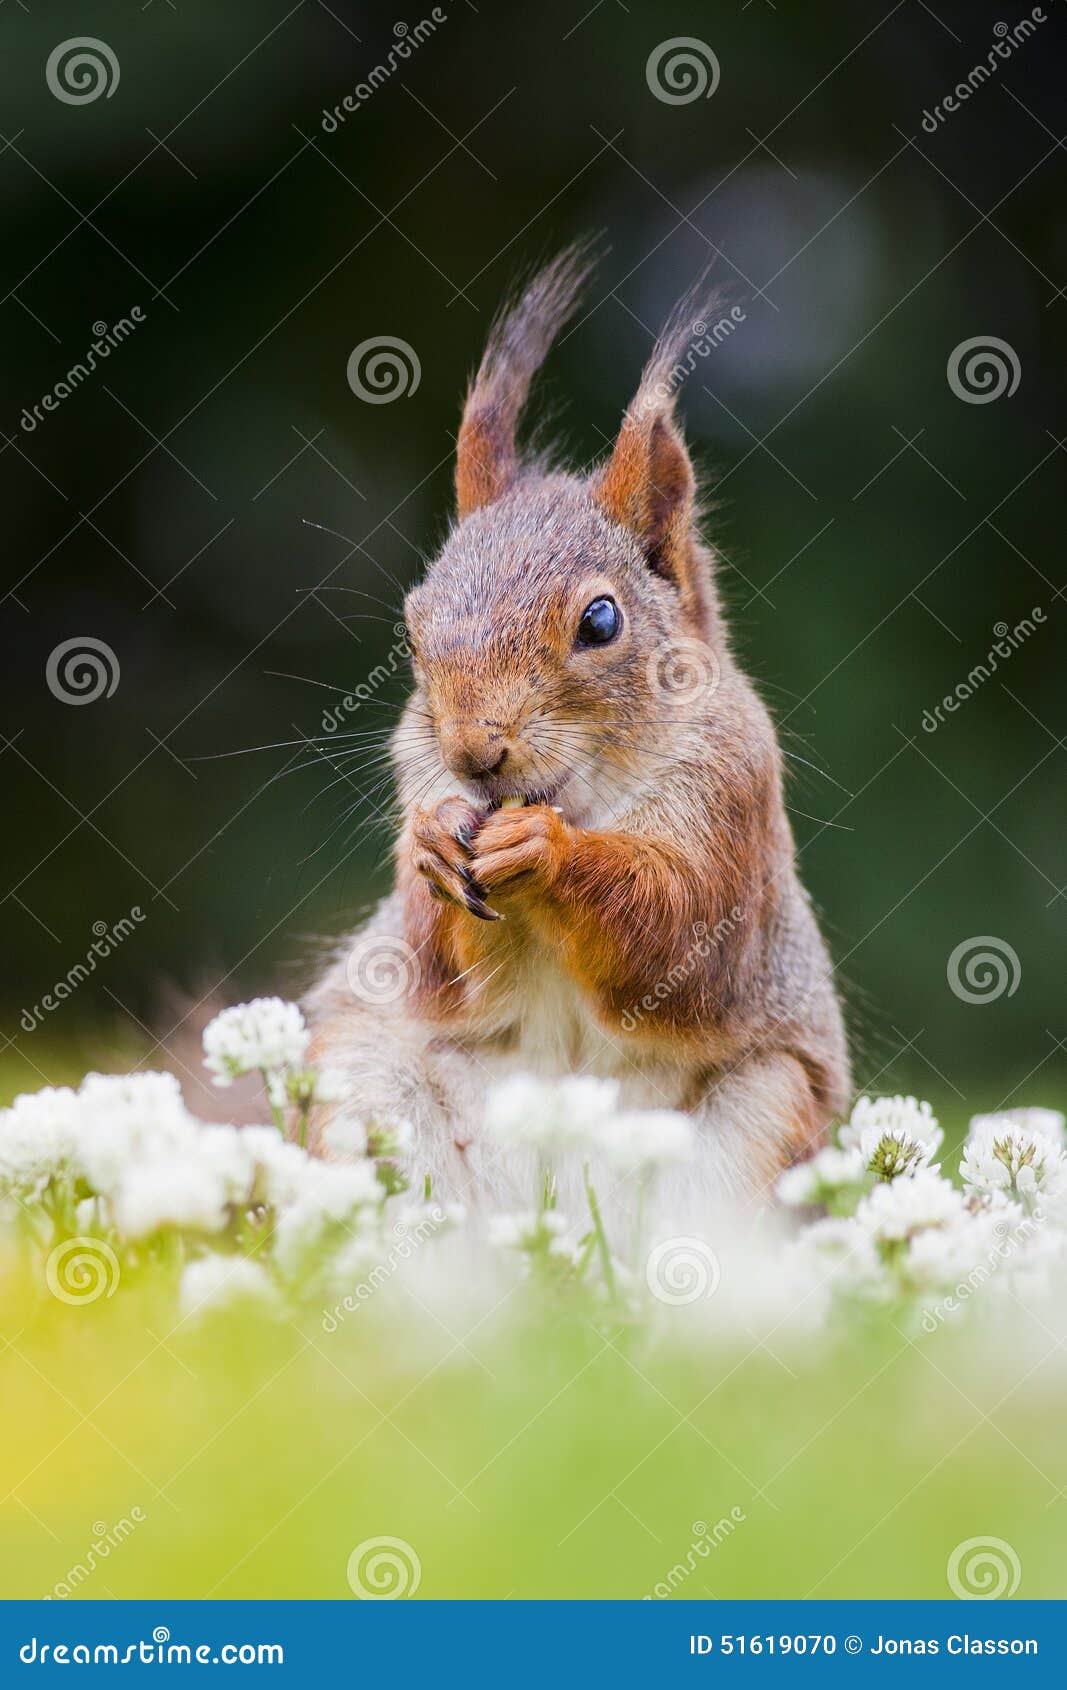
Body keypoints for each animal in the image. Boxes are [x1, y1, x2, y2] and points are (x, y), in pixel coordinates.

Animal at [305, 249, 850, 1207]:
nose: (472, 751)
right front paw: (435, 838)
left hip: (765, 1115)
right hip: (366, 1091)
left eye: (600, 621)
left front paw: (547, 851)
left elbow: (677, 927)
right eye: (411, 630)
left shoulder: (733, 793)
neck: (580, 796)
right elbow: (438, 966)